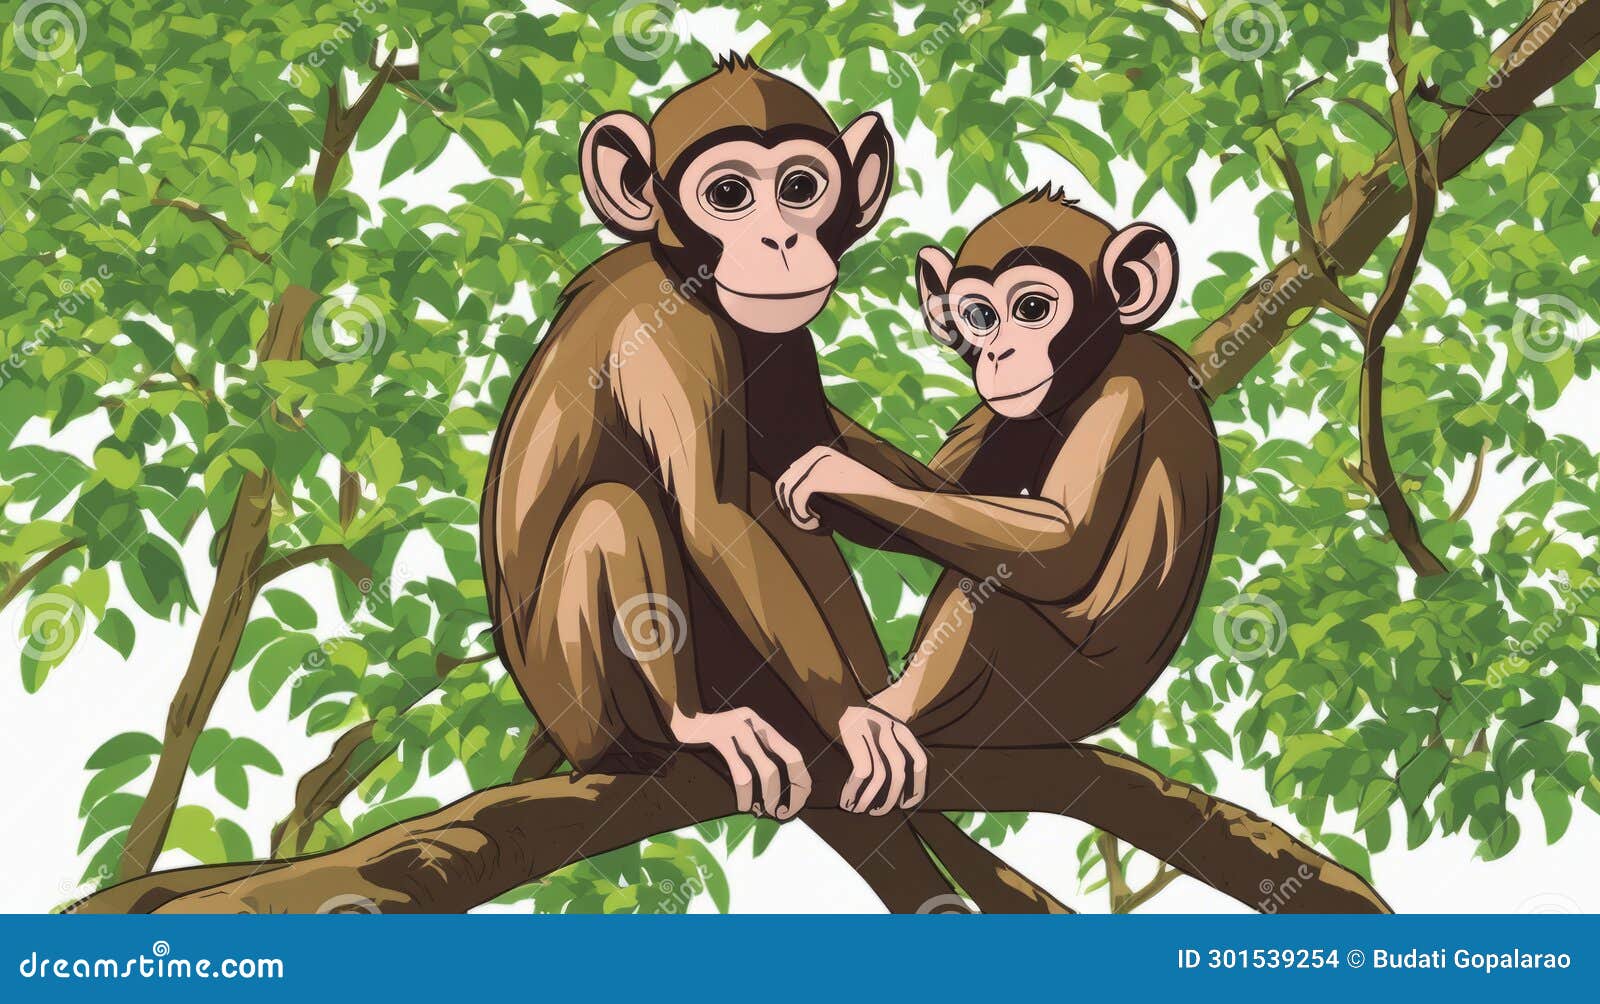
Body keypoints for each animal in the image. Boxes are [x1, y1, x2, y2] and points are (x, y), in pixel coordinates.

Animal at [480, 57, 944, 828]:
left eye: (800, 188)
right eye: (729, 194)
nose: (780, 242)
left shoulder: (780, 337)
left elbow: (811, 458)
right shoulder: (669, 334)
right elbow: (711, 517)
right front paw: (851, 718)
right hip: (582, 706)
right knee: (614, 512)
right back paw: (688, 726)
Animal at [774, 189, 1221, 772]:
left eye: (1031, 309)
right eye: (980, 316)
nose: (997, 352)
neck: (1095, 367)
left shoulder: (1123, 393)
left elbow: (1061, 544)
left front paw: (834, 473)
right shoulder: (1015, 414)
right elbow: (945, 493)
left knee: (983, 588)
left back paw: (888, 715)